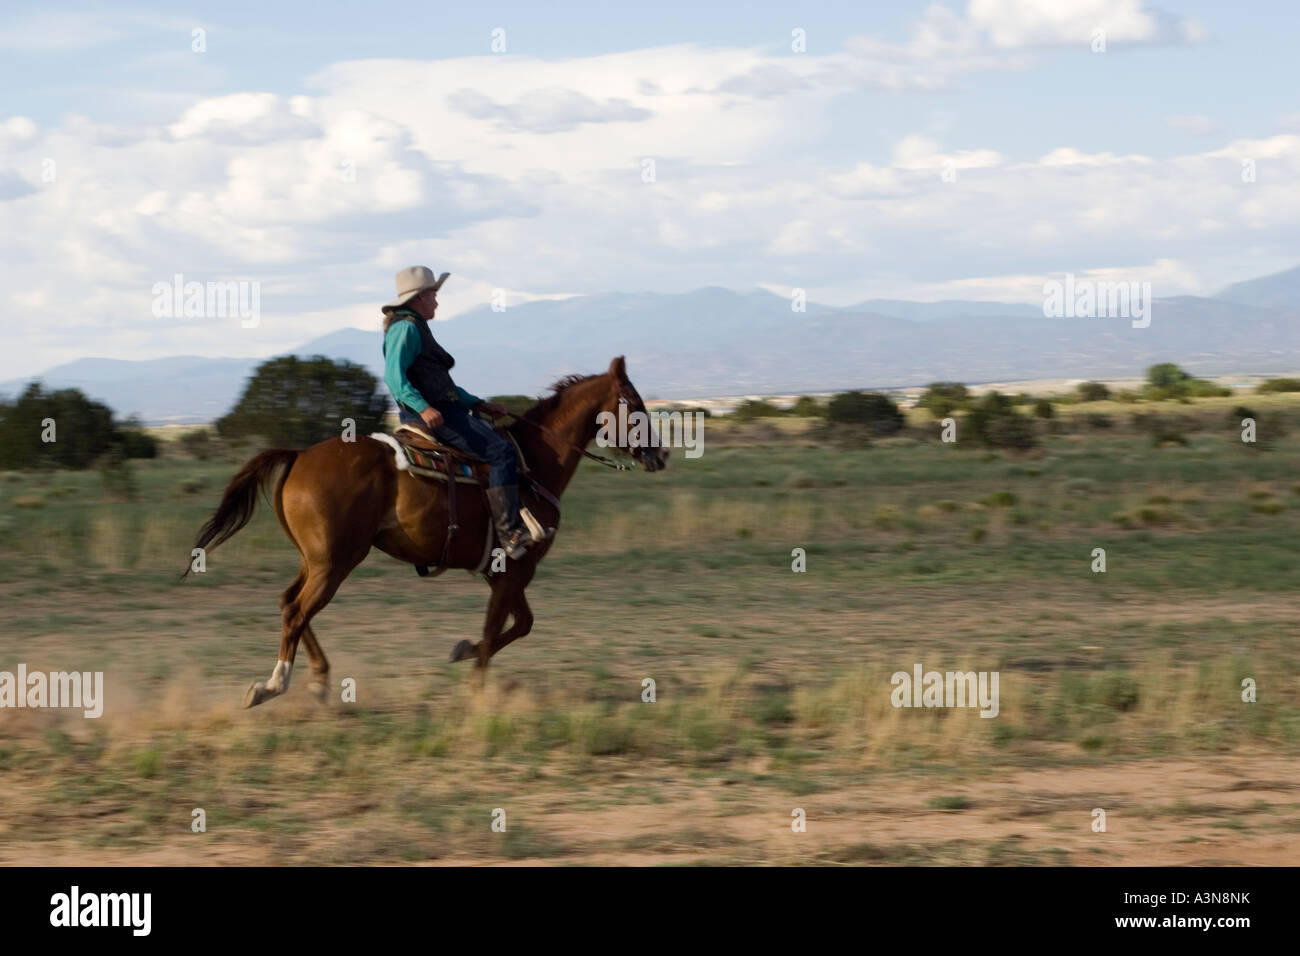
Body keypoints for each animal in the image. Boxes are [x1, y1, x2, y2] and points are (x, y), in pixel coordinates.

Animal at [184, 356, 667, 708]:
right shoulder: (515, 569)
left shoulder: (504, 573)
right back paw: (272, 686)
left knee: (290, 605)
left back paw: (317, 681)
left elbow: (520, 624)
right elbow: (502, 628)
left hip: (316, 560)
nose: (660, 454)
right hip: (335, 562)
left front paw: (463, 650)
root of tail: (300, 455)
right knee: (298, 612)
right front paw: (476, 687)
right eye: (634, 404)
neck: (533, 462)